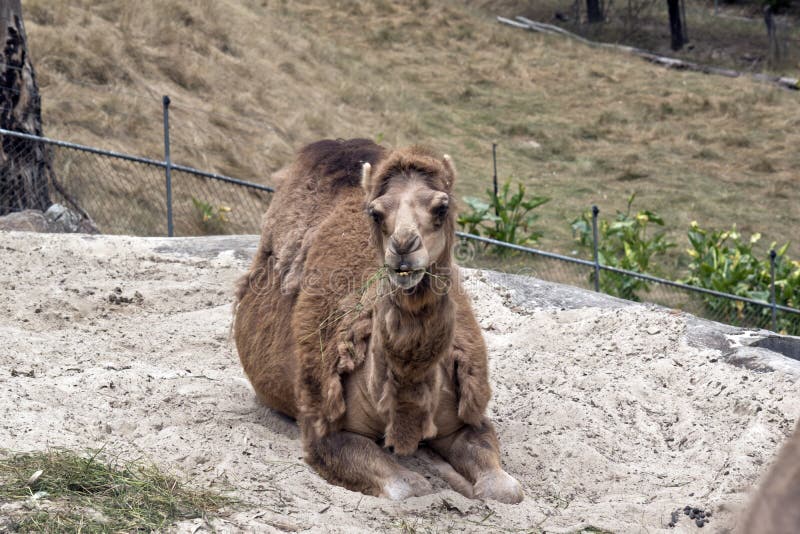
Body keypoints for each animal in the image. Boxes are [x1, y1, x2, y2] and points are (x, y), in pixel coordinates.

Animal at [234, 138, 523, 503]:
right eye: (375, 212)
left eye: (441, 207)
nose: (404, 246)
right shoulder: (323, 428)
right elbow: (409, 487)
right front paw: (438, 474)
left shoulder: (467, 418)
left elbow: (505, 489)